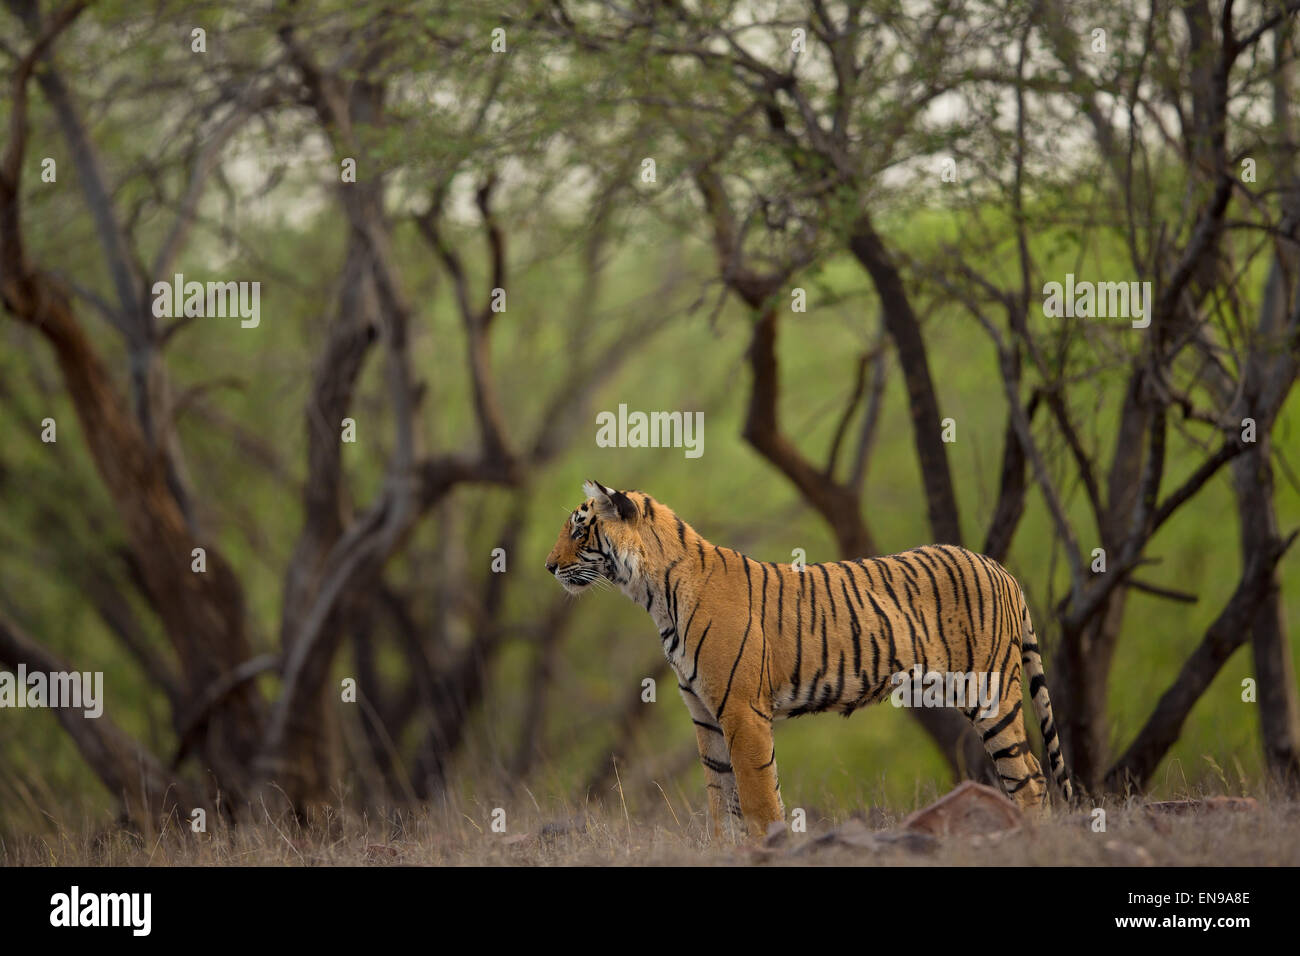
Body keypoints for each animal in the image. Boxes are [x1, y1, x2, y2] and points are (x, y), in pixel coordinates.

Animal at [546, 480, 1074, 839]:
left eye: (579, 529)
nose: (549, 567)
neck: (653, 594)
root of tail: (999, 567)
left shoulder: (742, 710)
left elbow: (758, 797)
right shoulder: (704, 713)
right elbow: (721, 800)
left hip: (990, 692)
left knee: (1031, 779)